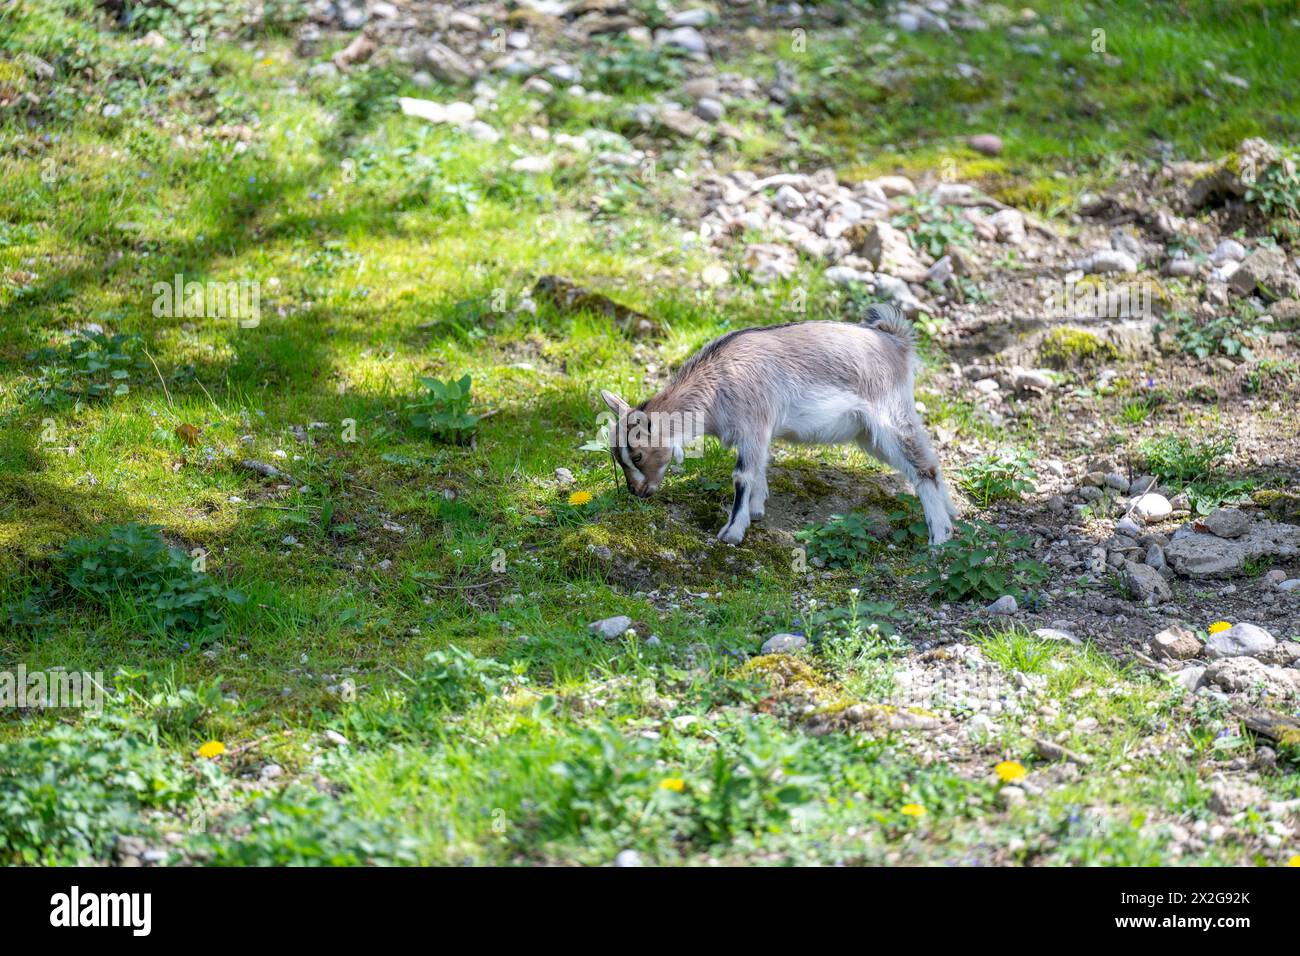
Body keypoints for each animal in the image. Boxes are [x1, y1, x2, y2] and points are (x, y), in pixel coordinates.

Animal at [601, 305, 956, 546]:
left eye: (637, 455)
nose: (637, 492)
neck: (716, 384)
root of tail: (895, 341)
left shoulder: (753, 424)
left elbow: (742, 475)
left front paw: (732, 531)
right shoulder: (757, 435)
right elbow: (758, 469)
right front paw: (757, 510)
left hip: (889, 417)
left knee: (923, 466)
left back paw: (940, 536)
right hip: (869, 435)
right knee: (928, 462)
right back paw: (952, 515)